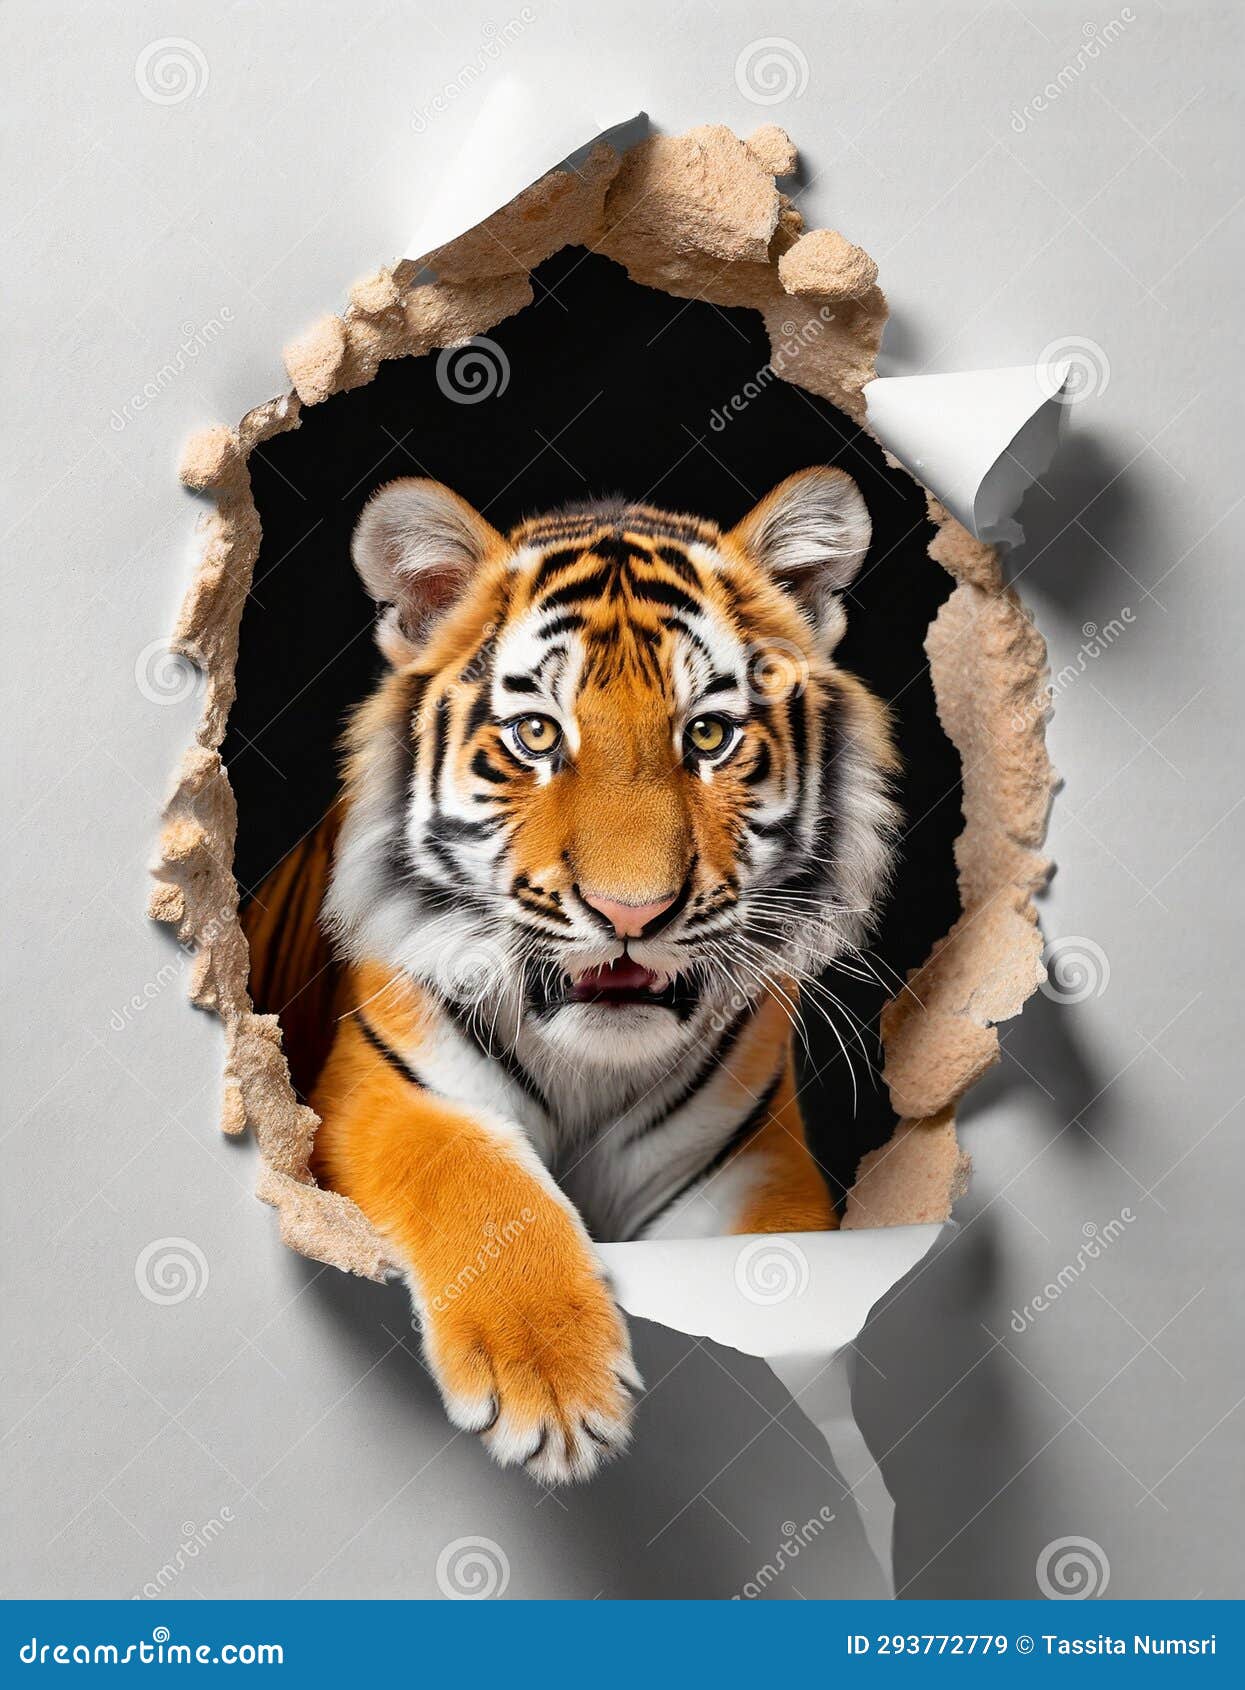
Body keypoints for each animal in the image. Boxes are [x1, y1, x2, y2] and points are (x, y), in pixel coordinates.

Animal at [242, 466, 899, 1485]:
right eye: (535, 735)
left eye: (707, 735)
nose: (632, 914)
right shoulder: (384, 1092)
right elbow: (478, 1181)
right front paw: (552, 1387)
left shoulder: (752, 1162)